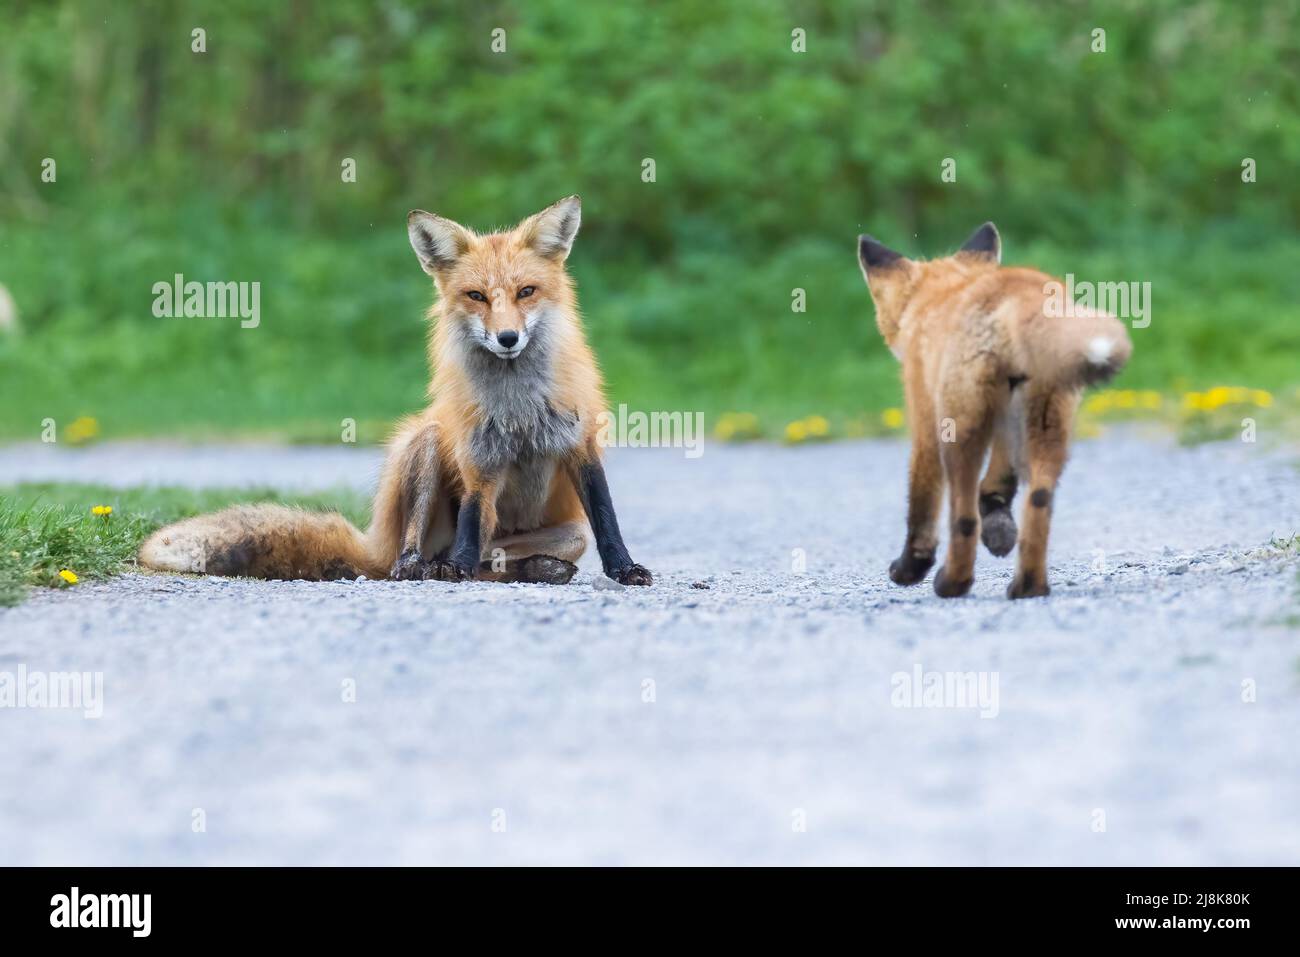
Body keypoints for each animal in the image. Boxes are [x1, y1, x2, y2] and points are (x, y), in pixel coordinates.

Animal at [140, 196, 653, 587]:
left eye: (526, 291)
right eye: (476, 296)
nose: (507, 338)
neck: (518, 407)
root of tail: (376, 547)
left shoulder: (580, 445)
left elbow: (605, 517)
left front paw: (625, 569)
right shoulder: (476, 458)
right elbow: (470, 521)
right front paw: (457, 568)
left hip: (565, 535)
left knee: (497, 558)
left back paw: (537, 568)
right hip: (424, 444)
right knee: (416, 556)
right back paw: (428, 567)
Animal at [856, 222, 1132, 599]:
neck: (939, 296)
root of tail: (1016, 295)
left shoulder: (926, 419)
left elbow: (921, 503)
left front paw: (910, 568)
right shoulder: (1004, 421)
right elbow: (998, 483)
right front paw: (999, 527)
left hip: (960, 431)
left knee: (962, 518)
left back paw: (952, 583)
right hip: (1045, 426)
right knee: (1039, 499)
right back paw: (1028, 586)